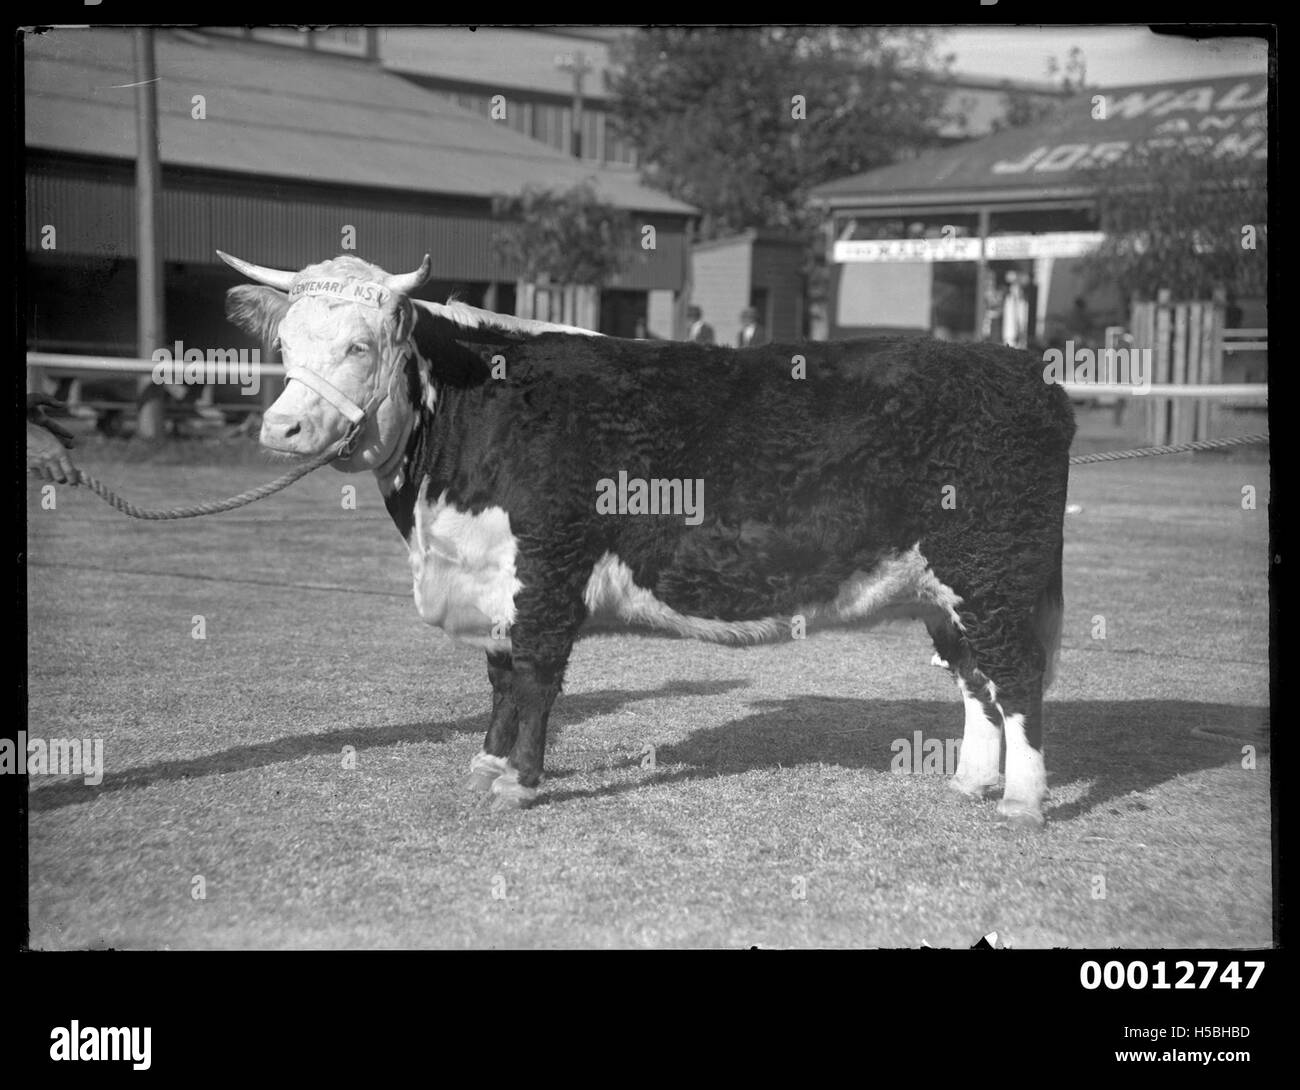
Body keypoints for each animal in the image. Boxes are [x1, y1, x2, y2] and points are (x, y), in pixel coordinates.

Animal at [219, 251, 1075, 828]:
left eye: (361, 345)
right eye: (284, 345)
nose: (281, 429)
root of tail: (1022, 368)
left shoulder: (548, 570)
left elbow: (534, 681)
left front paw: (517, 783)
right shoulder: (497, 577)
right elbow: (498, 681)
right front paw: (484, 765)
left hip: (994, 577)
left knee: (1018, 680)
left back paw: (1022, 801)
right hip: (946, 591)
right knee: (975, 681)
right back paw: (972, 782)